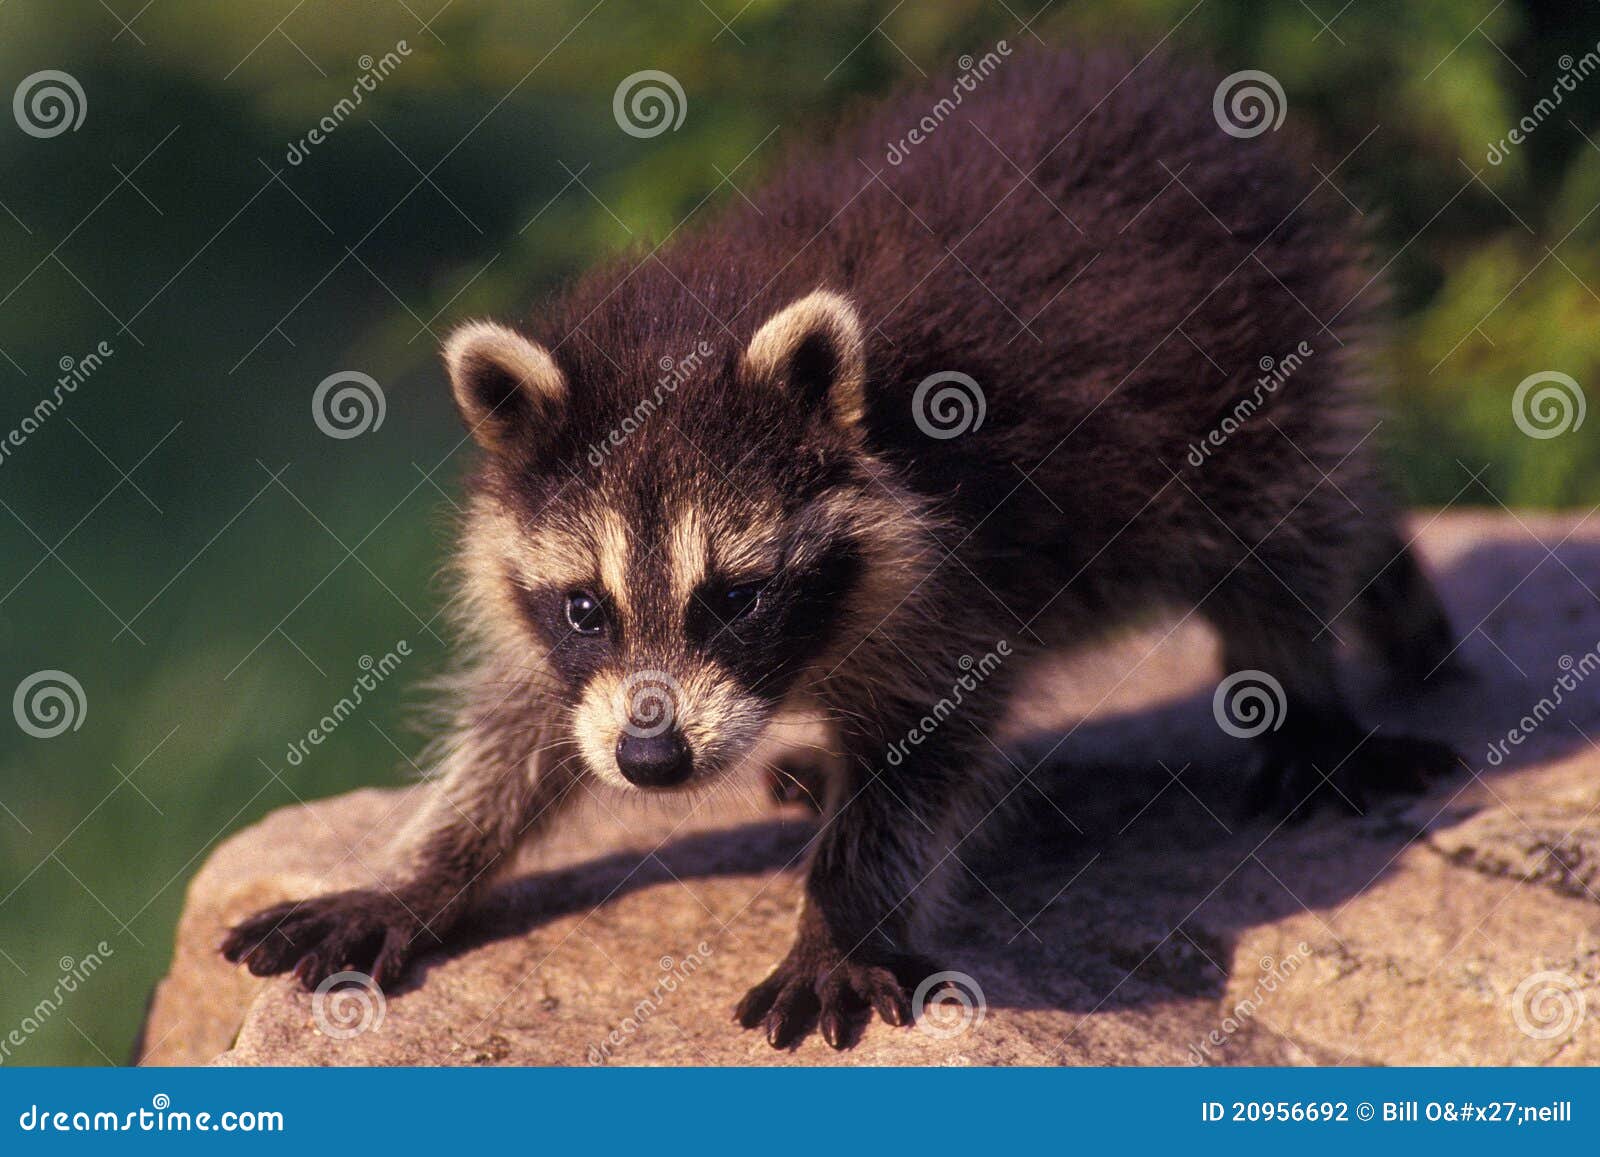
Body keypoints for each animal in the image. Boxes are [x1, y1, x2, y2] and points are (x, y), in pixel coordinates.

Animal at [223, 50, 1459, 1049]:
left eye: (735, 598)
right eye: (585, 607)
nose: (654, 763)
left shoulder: (955, 571)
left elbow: (920, 755)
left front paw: (845, 913)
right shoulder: (582, 653)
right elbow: (527, 723)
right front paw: (422, 866)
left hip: (1263, 363)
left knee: (1284, 534)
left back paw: (1305, 694)